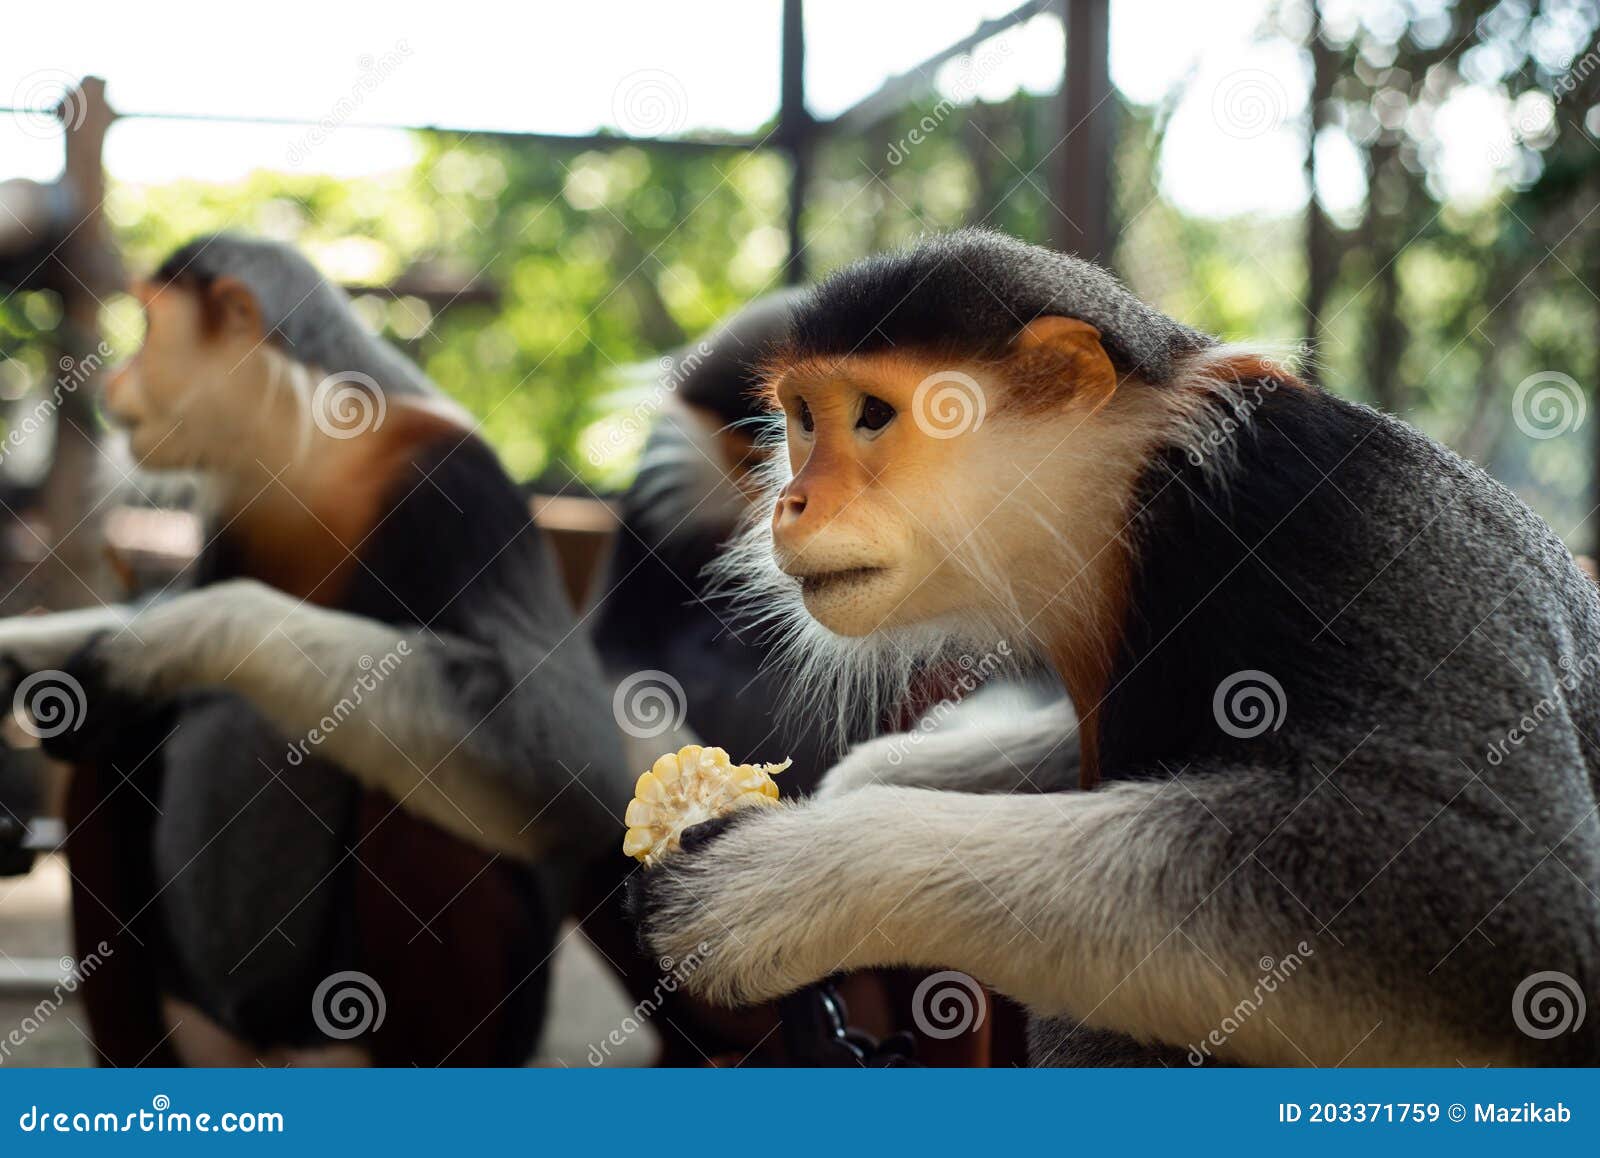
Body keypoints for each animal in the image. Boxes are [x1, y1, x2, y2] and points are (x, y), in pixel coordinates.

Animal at [0, 233, 630, 1066]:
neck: (314, 461)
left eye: (148, 327)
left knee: (412, 798)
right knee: (107, 750)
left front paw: (158, 644)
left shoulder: (459, 484)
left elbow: (575, 766)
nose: (116, 378)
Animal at [631, 229, 1600, 1066]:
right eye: (801, 418)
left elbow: (1527, 899)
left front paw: (788, 876)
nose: (791, 504)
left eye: (871, 415)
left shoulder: (1322, 515)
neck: (1139, 494)